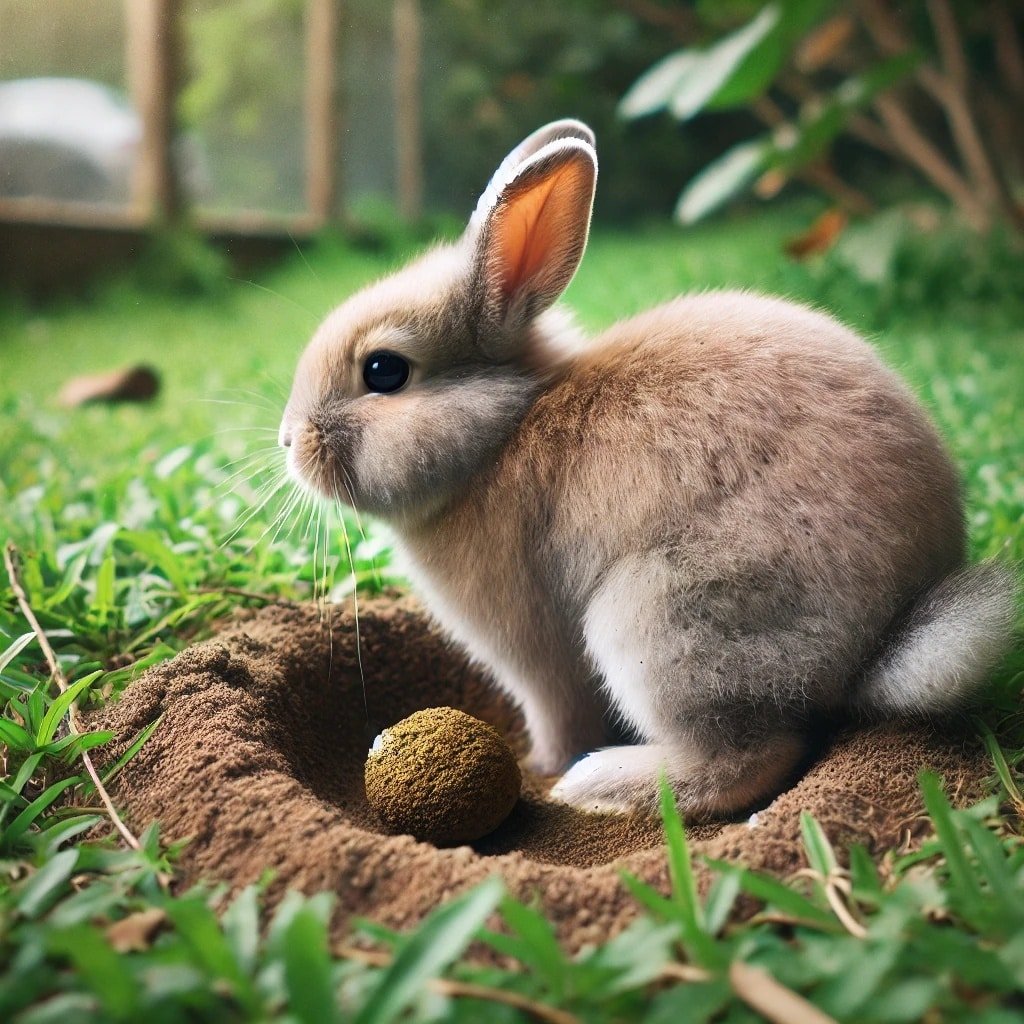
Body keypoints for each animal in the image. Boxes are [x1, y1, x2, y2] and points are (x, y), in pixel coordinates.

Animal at [278, 119, 1016, 817]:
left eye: (384, 371)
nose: (289, 440)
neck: (500, 432)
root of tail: (883, 641)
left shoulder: (535, 651)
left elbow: (558, 709)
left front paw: (540, 764)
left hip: (659, 615)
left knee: (748, 758)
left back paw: (598, 783)